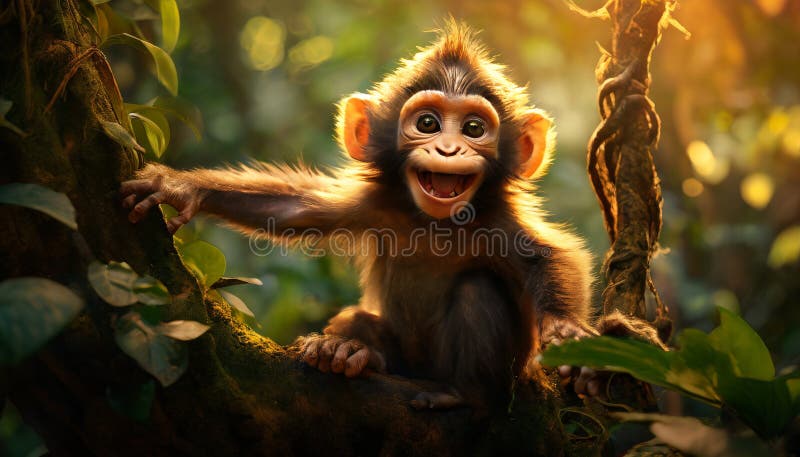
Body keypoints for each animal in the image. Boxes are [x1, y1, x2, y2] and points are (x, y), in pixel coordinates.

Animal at [121, 22, 621, 409]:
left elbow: (552, 257)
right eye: (427, 124)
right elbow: (293, 209)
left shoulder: (498, 220)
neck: (433, 221)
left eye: (474, 129)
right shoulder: (376, 203)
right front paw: (179, 185)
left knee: (477, 290)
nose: (448, 149)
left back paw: (459, 392)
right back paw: (346, 352)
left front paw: (568, 332)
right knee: (357, 318)